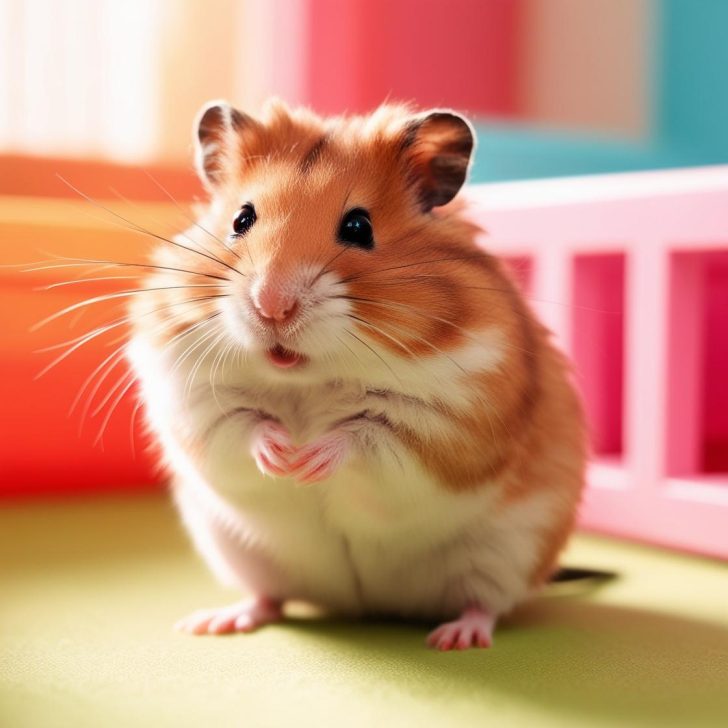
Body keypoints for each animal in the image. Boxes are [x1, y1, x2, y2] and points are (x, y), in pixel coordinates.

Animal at [127, 99, 587, 650]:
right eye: (241, 219)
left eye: (358, 227)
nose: (272, 307)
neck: (307, 378)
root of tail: (367, 604)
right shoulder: (195, 401)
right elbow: (245, 425)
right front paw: (283, 456)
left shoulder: (443, 423)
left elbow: (364, 435)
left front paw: (307, 459)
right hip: (241, 552)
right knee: (269, 597)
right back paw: (217, 621)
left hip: (511, 552)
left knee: (485, 604)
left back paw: (455, 637)